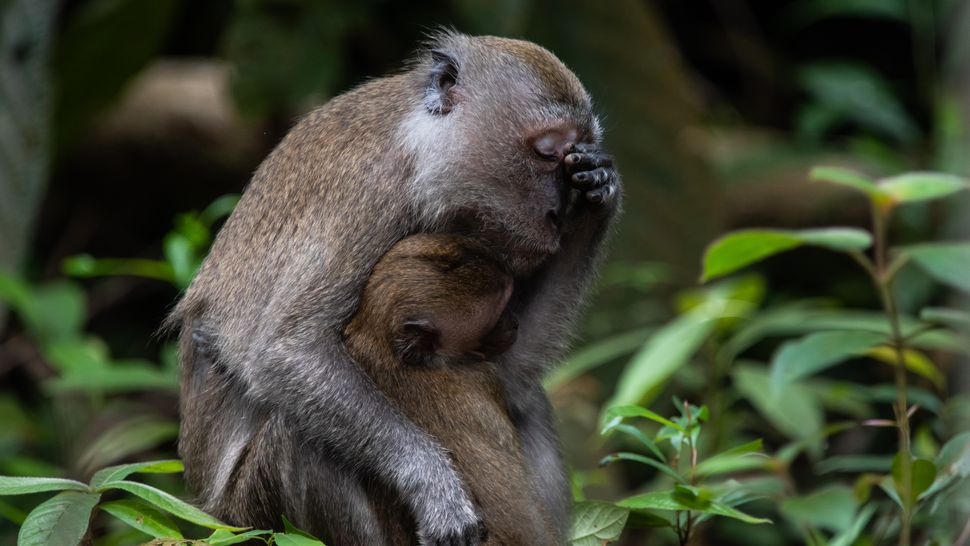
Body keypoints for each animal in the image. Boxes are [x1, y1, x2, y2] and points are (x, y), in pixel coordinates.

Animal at [172, 30, 620, 545]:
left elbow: (517, 373)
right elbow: (286, 351)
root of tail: (210, 512)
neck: (419, 147)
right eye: (547, 151)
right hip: (246, 516)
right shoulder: (372, 193)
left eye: (575, 156)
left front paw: (600, 191)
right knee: (300, 439)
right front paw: (433, 484)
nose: (557, 213)